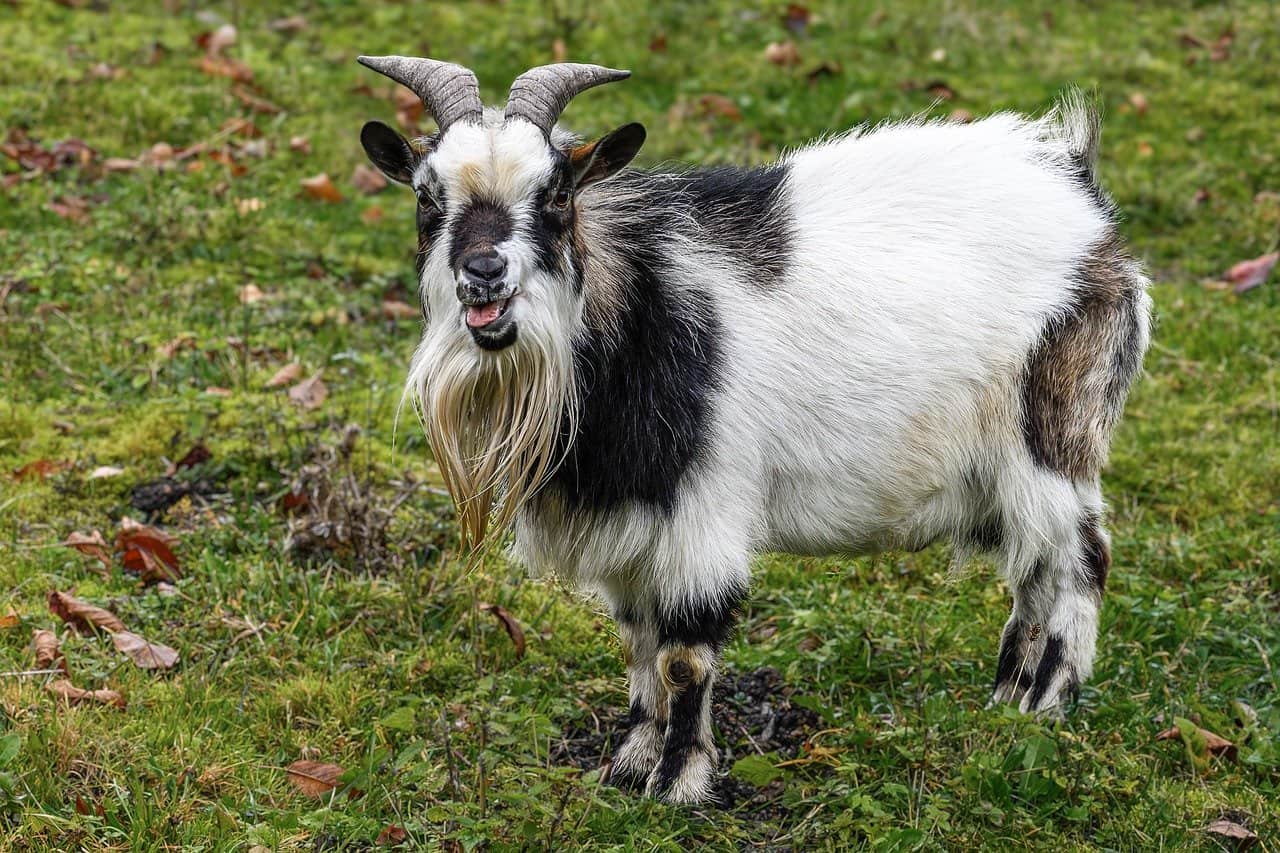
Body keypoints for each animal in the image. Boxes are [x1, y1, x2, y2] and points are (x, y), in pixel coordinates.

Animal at [356, 56, 1152, 804]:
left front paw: (679, 781)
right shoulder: (632, 524)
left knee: (1082, 558)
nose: (483, 272)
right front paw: (629, 763)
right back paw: (1004, 702)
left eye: (555, 193)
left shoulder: (704, 510)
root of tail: (1077, 186)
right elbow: (638, 644)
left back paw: (1049, 705)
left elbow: (683, 656)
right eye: (427, 196)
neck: (635, 317)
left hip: (1051, 436)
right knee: (1034, 570)